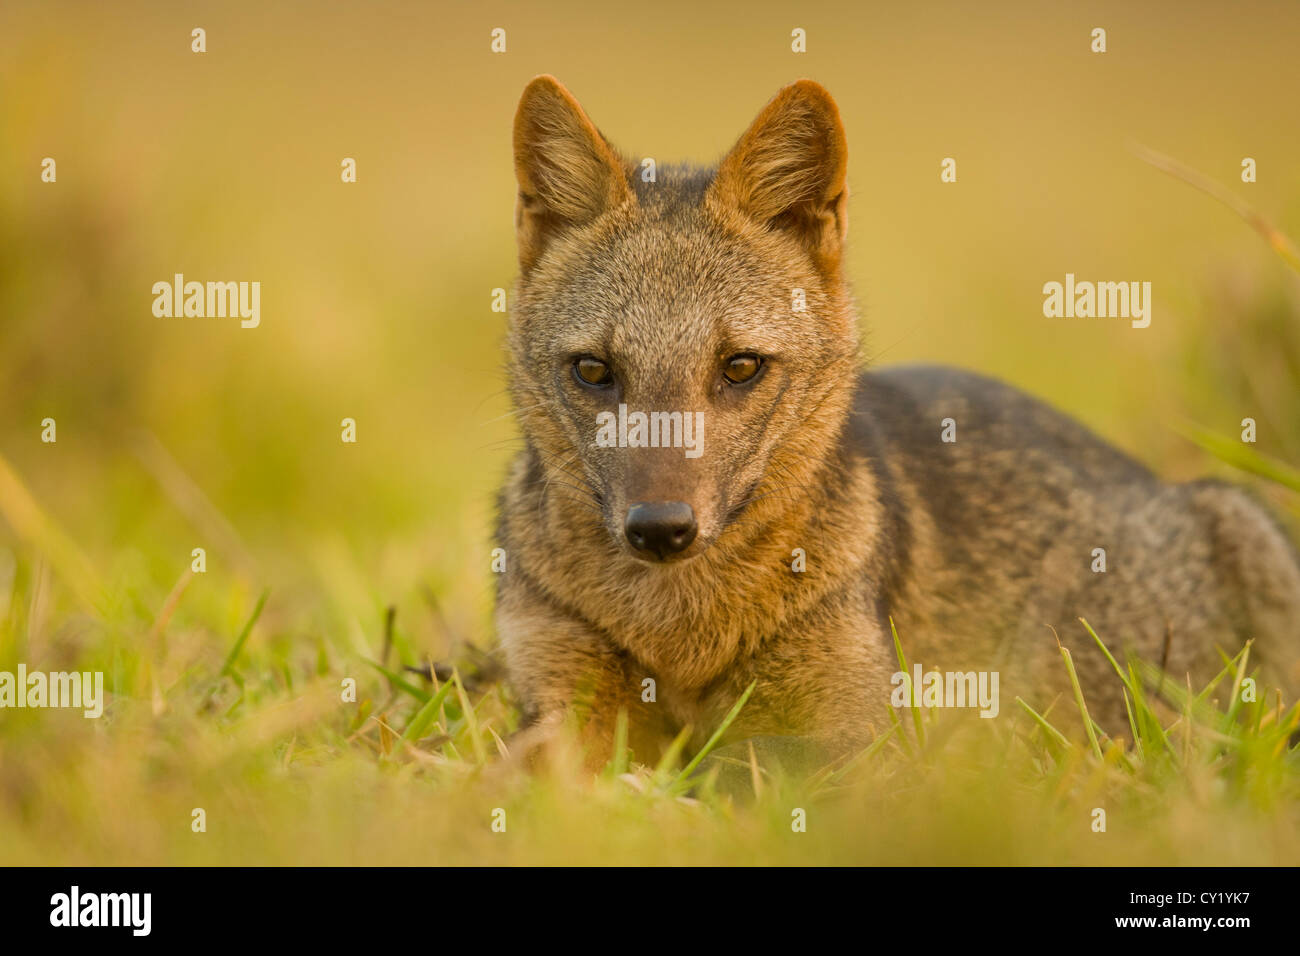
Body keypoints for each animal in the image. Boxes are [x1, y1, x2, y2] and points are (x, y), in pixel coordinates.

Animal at [494, 74, 1300, 772]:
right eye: (594, 371)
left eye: (741, 367)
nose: (660, 529)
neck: (679, 635)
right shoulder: (562, 704)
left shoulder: (852, 738)